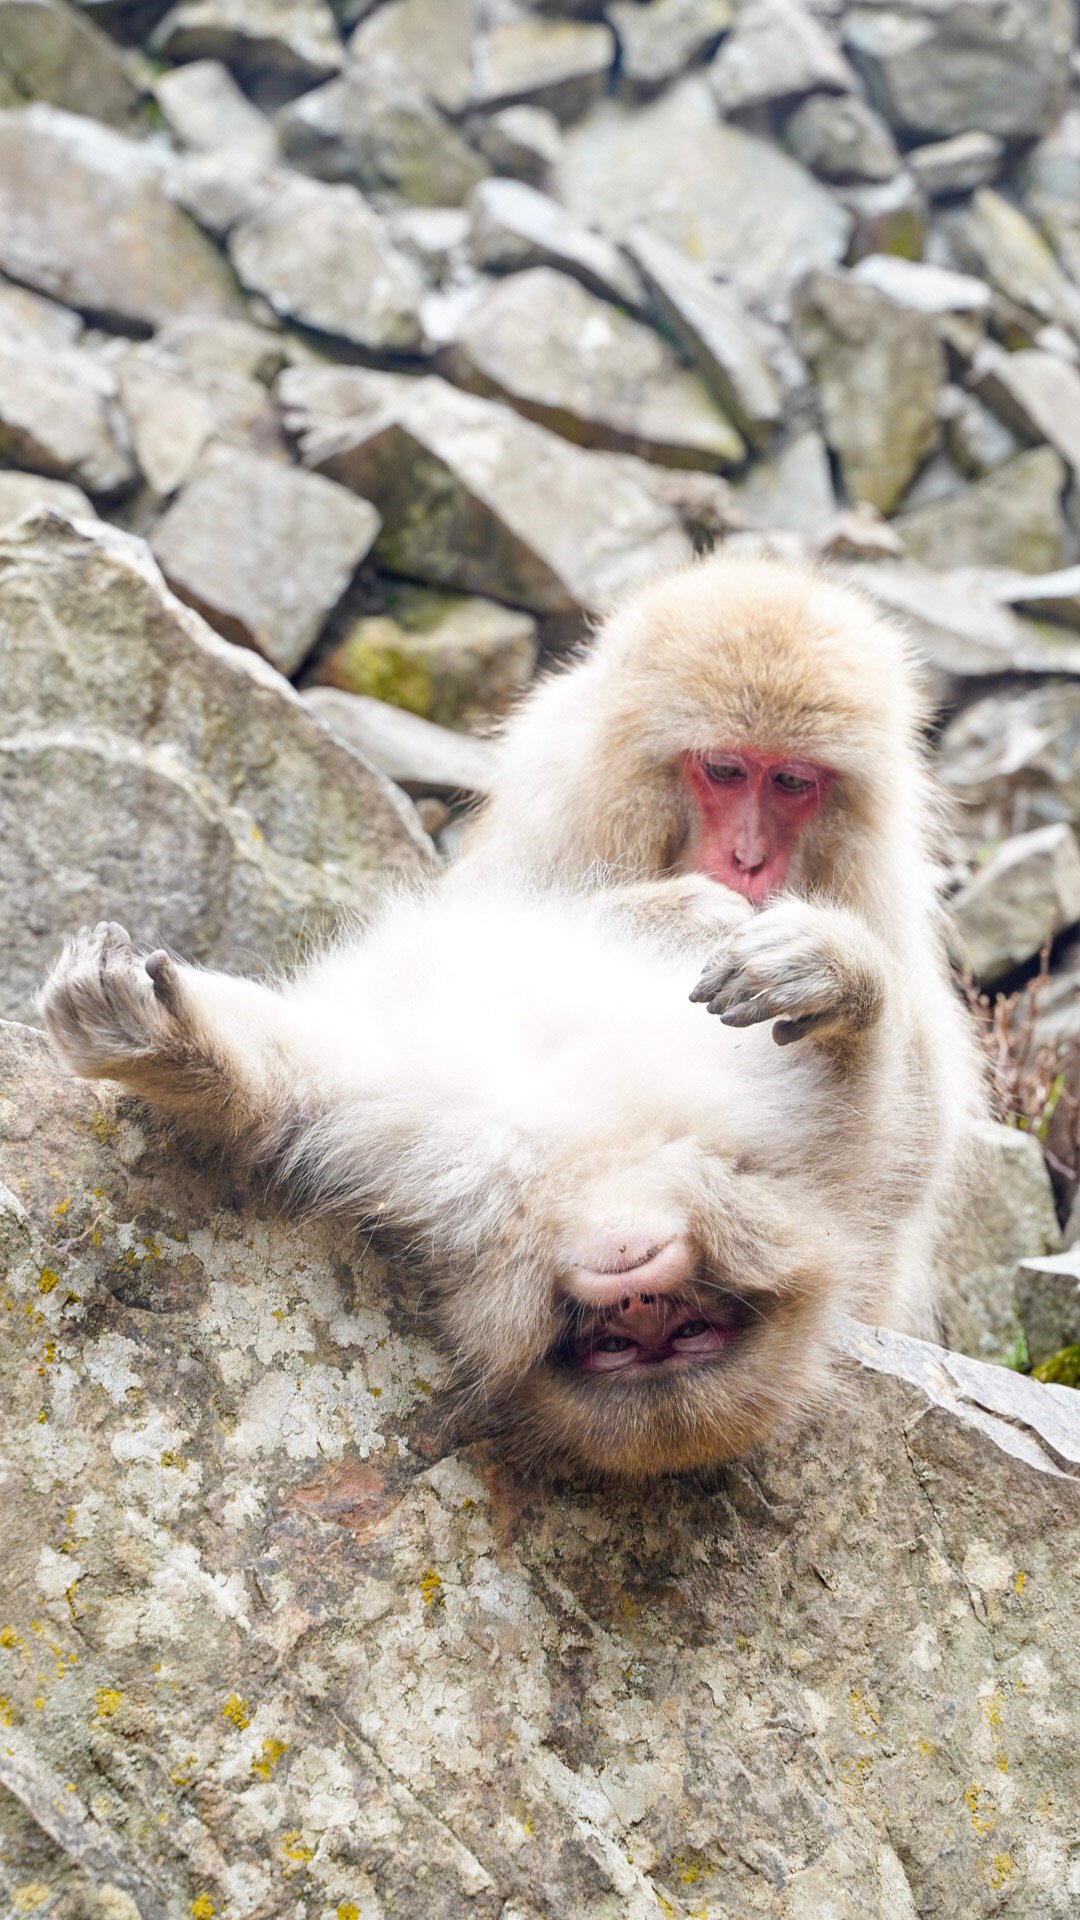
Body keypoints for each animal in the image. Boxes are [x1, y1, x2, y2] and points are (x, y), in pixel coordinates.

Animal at [40, 867, 905, 1481]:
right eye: (623, 1338)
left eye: (682, 1330)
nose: (637, 1293)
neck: (585, 1157)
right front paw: (832, 979)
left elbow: (282, 1098)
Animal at [459, 549, 987, 1333]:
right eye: (726, 771)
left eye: (792, 780)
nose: (748, 859)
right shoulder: (555, 807)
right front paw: (678, 916)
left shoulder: (878, 877)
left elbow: (907, 1168)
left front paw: (838, 974)